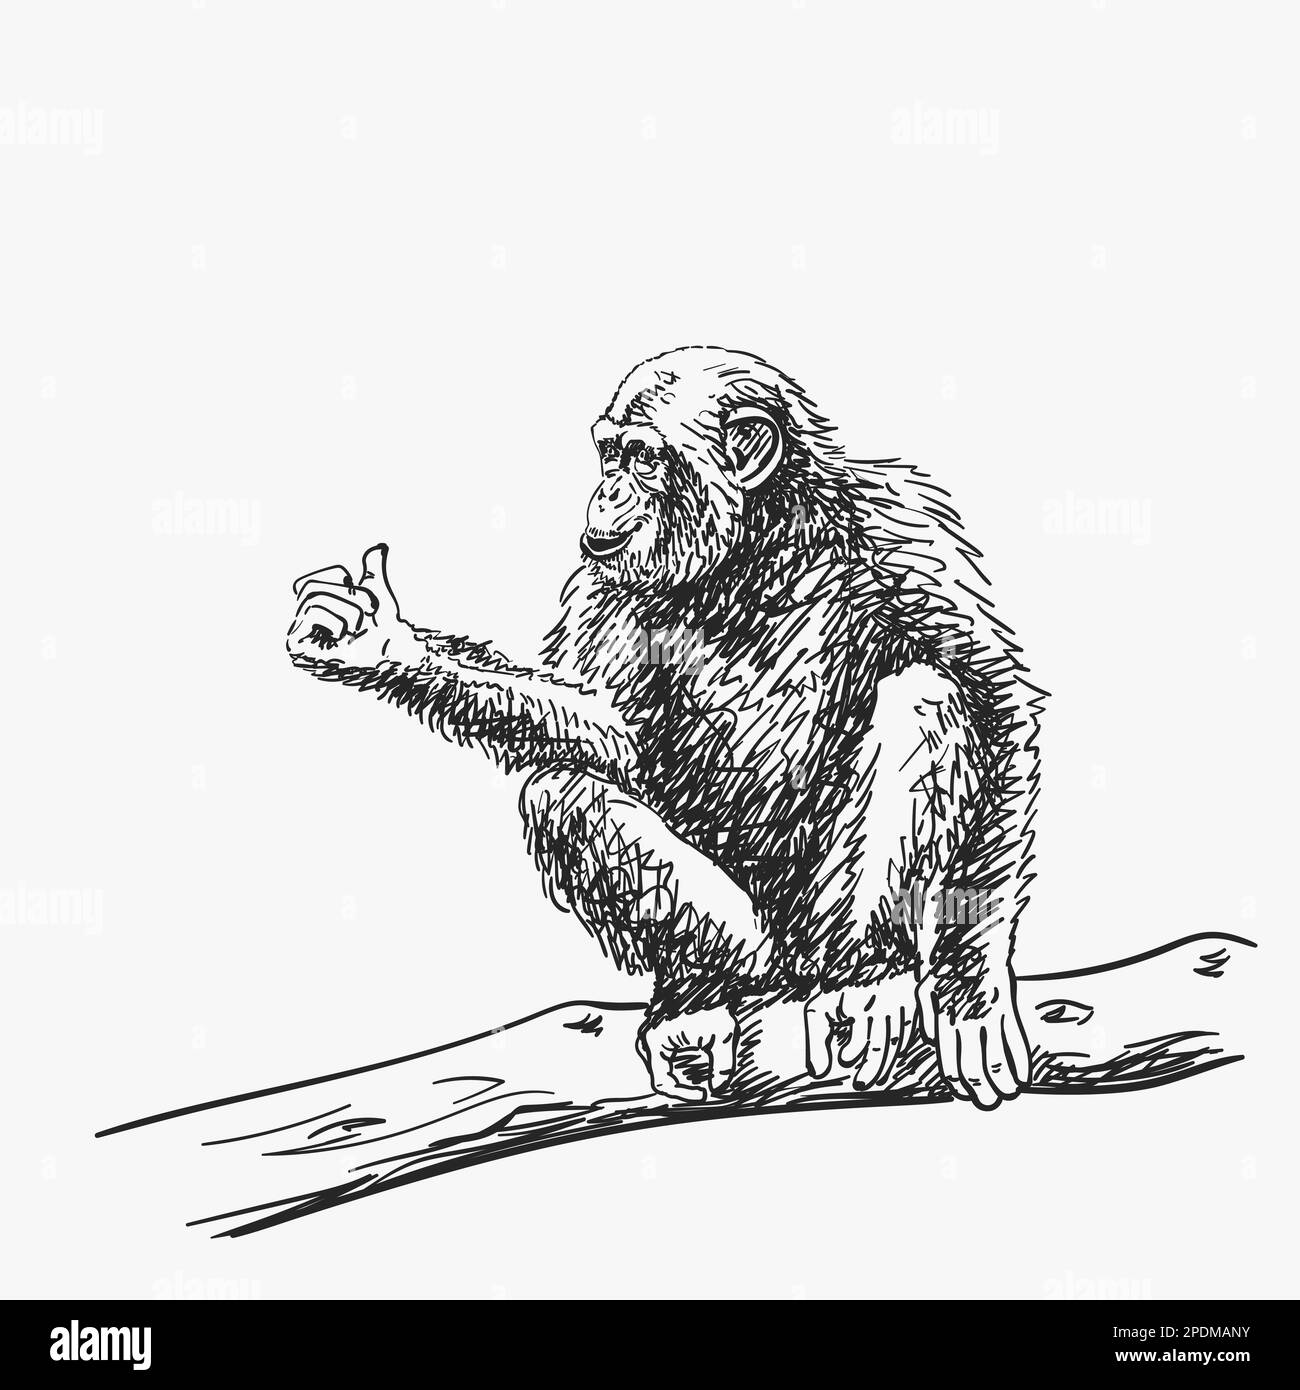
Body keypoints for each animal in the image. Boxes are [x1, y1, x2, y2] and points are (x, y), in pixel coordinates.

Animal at [286, 346, 1045, 1109]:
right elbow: (613, 727)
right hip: (754, 936)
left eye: (643, 459)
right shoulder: (605, 583)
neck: (758, 544)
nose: (605, 494)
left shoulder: (905, 533)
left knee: (925, 695)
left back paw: (871, 972)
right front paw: (377, 643)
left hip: (818, 925)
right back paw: (700, 996)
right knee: (566, 796)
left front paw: (972, 995)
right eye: (607, 455)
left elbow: (994, 705)